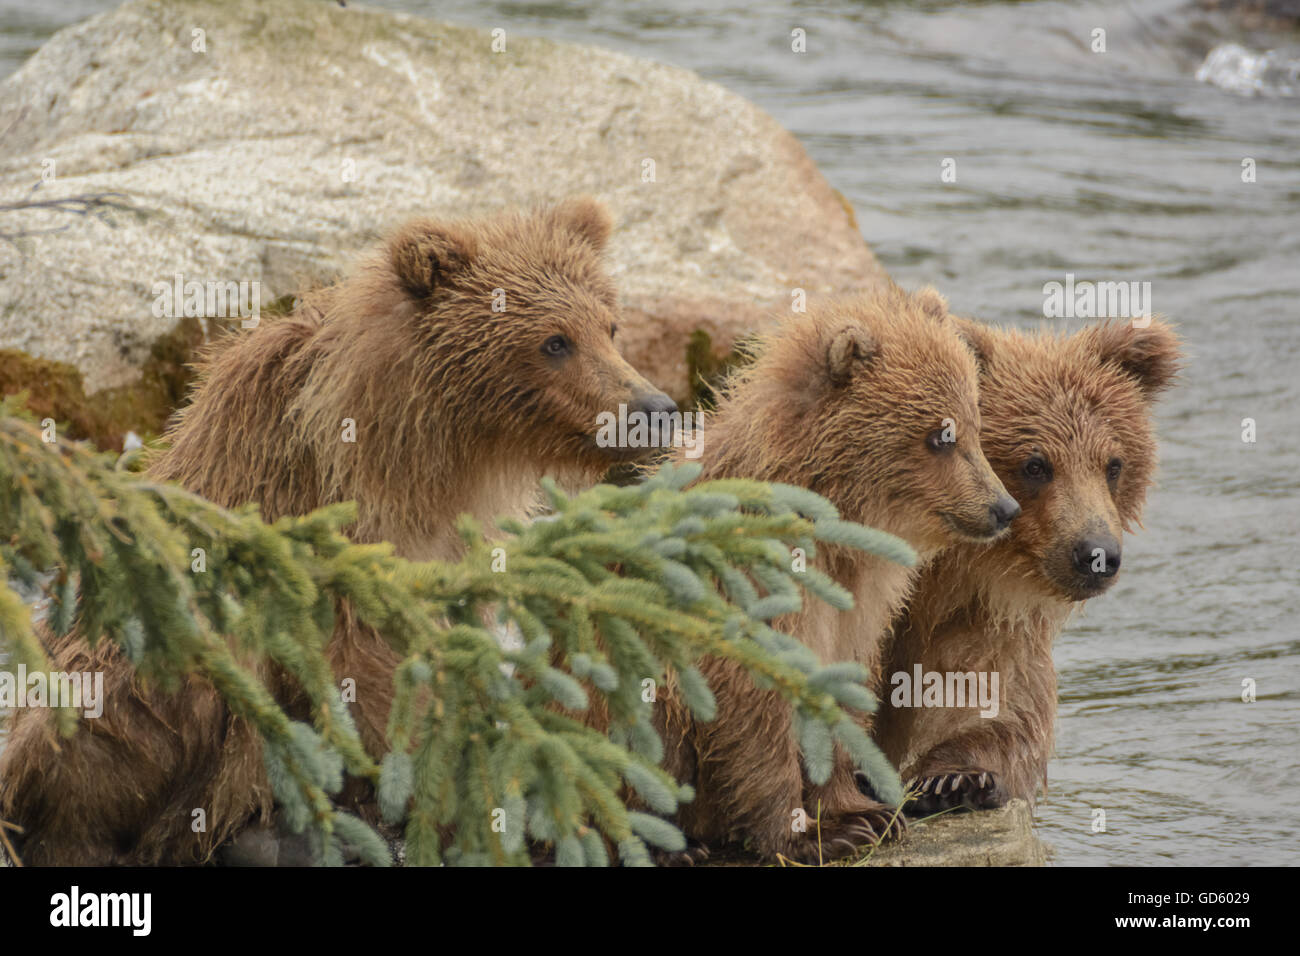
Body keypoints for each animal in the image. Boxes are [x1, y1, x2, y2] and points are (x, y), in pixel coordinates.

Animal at [655, 285, 1020, 863]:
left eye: (974, 426)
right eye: (939, 436)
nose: (1004, 508)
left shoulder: (860, 595)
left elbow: (842, 683)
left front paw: (863, 814)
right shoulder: (753, 575)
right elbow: (753, 695)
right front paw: (807, 833)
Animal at [872, 317, 1181, 815]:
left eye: (1114, 464)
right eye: (1036, 464)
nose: (1096, 554)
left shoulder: (976, 612)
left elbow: (996, 701)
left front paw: (955, 778)